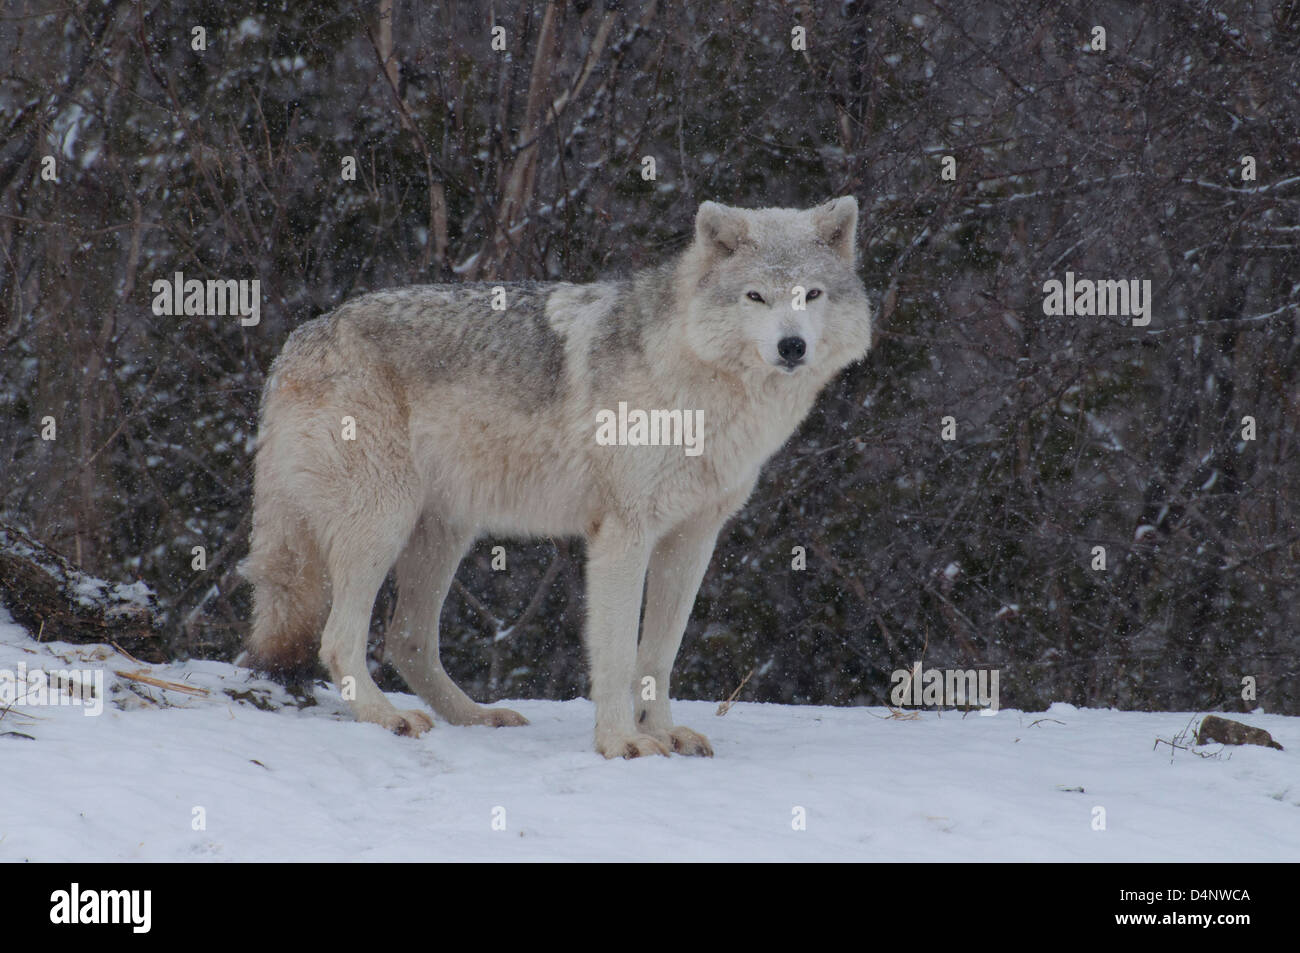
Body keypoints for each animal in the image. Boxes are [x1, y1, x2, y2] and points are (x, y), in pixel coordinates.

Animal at [239, 198, 873, 758]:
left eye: (811, 294)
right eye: (756, 296)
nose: (792, 346)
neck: (697, 388)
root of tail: (293, 346)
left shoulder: (692, 538)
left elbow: (659, 654)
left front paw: (664, 733)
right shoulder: (623, 535)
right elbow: (616, 654)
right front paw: (621, 743)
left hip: (441, 535)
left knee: (407, 639)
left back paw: (475, 716)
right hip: (381, 525)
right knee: (340, 639)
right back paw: (387, 717)